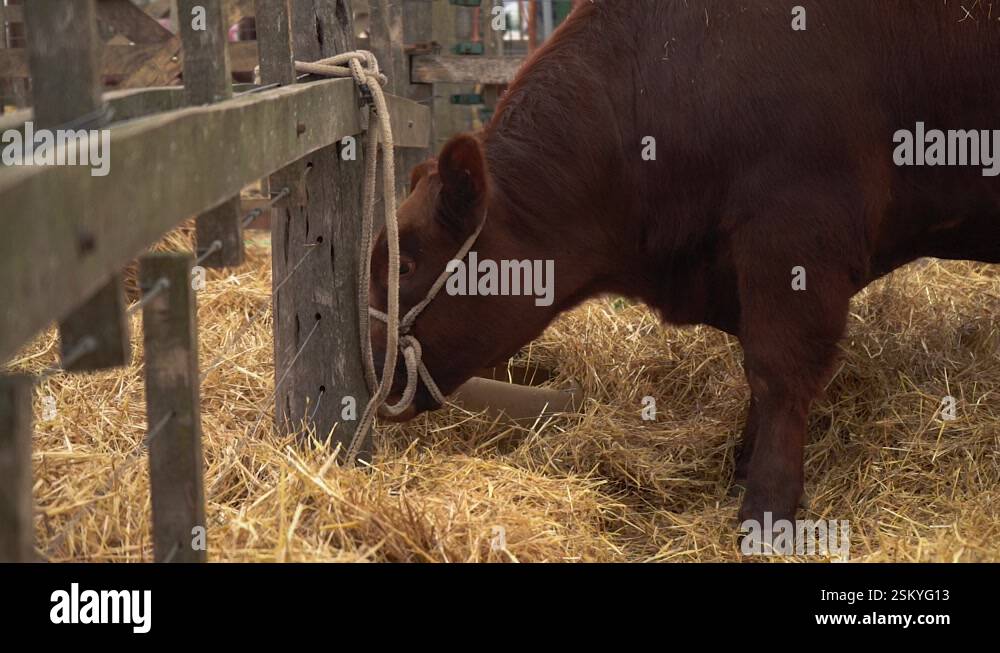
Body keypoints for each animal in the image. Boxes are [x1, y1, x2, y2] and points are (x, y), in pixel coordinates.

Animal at [369, 0, 1000, 524]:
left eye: (404, 266)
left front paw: (767, 506)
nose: (370, 374)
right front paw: (743, 465)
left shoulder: (796, 237)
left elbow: (777, 370)